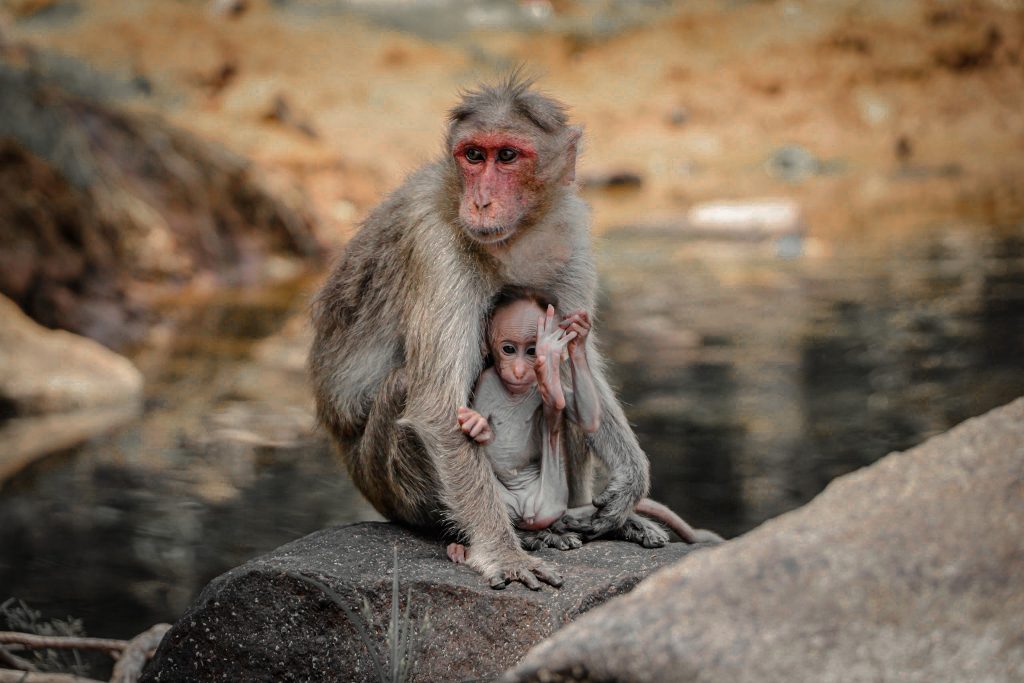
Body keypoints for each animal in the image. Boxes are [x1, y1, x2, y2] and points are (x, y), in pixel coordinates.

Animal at [309, 72, 673, 591]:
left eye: (507, 156)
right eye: (473, 156)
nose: (480, 201)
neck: (515, 237)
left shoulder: (568, 233)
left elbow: (580, 361)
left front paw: (630, 482)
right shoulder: (436, 245)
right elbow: (437, 410)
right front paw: (505, 554)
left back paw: (589, 518)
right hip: (382, 483)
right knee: (404, 387)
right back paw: (520, 534)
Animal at [447, 288, 722, 567]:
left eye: (531, 350)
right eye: (509, 349)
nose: (519, 370)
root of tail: (528, 512)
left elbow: (588, 418)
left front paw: (575, 342)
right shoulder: (486, 382)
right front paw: (476, 425)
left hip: (551, 497)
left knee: (555, 425)